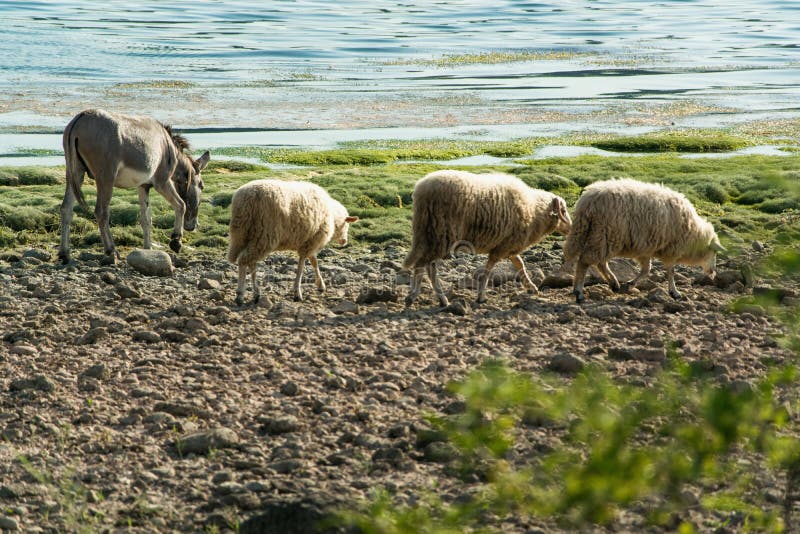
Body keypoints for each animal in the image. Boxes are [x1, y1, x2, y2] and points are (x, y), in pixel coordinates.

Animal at [227, 179, 358, 304]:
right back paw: (241, 294)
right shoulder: (311, 241)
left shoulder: (309, 241)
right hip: (264, 235)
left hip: (243, 234)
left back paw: (256, 294)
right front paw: (297, 292)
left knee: (250, 262)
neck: (333, 216)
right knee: (244, 261)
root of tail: (244, 200)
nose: (344, 241)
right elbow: (302, 266)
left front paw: (320, 285)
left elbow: (314, 262)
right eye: (347, 225)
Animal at [403, 170, 572, 306]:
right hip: (443, 234)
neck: (534, 210)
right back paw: (416, 296)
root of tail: (421, 191)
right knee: (424, 265)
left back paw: (440, 299)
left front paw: (531, 287)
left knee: (428, 265)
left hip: (431, 235)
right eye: (563, 210)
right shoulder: (503, 246)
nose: (571, 227)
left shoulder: (508, 245)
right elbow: (489, 269)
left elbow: (520, 264)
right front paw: (481, 296)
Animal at [563, 178, 725, 303]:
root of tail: (587, 201)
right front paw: (674, 292)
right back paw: (579, 292)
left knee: (600, 263)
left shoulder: (645, 249)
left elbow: (646, 270)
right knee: (585, 261)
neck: (694, 234)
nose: (713, 272)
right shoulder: (671, 249)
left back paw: (614, 283)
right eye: (714, 253)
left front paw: (630, 284)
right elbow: (670, 272)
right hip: (605, 234)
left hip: (601, 237)